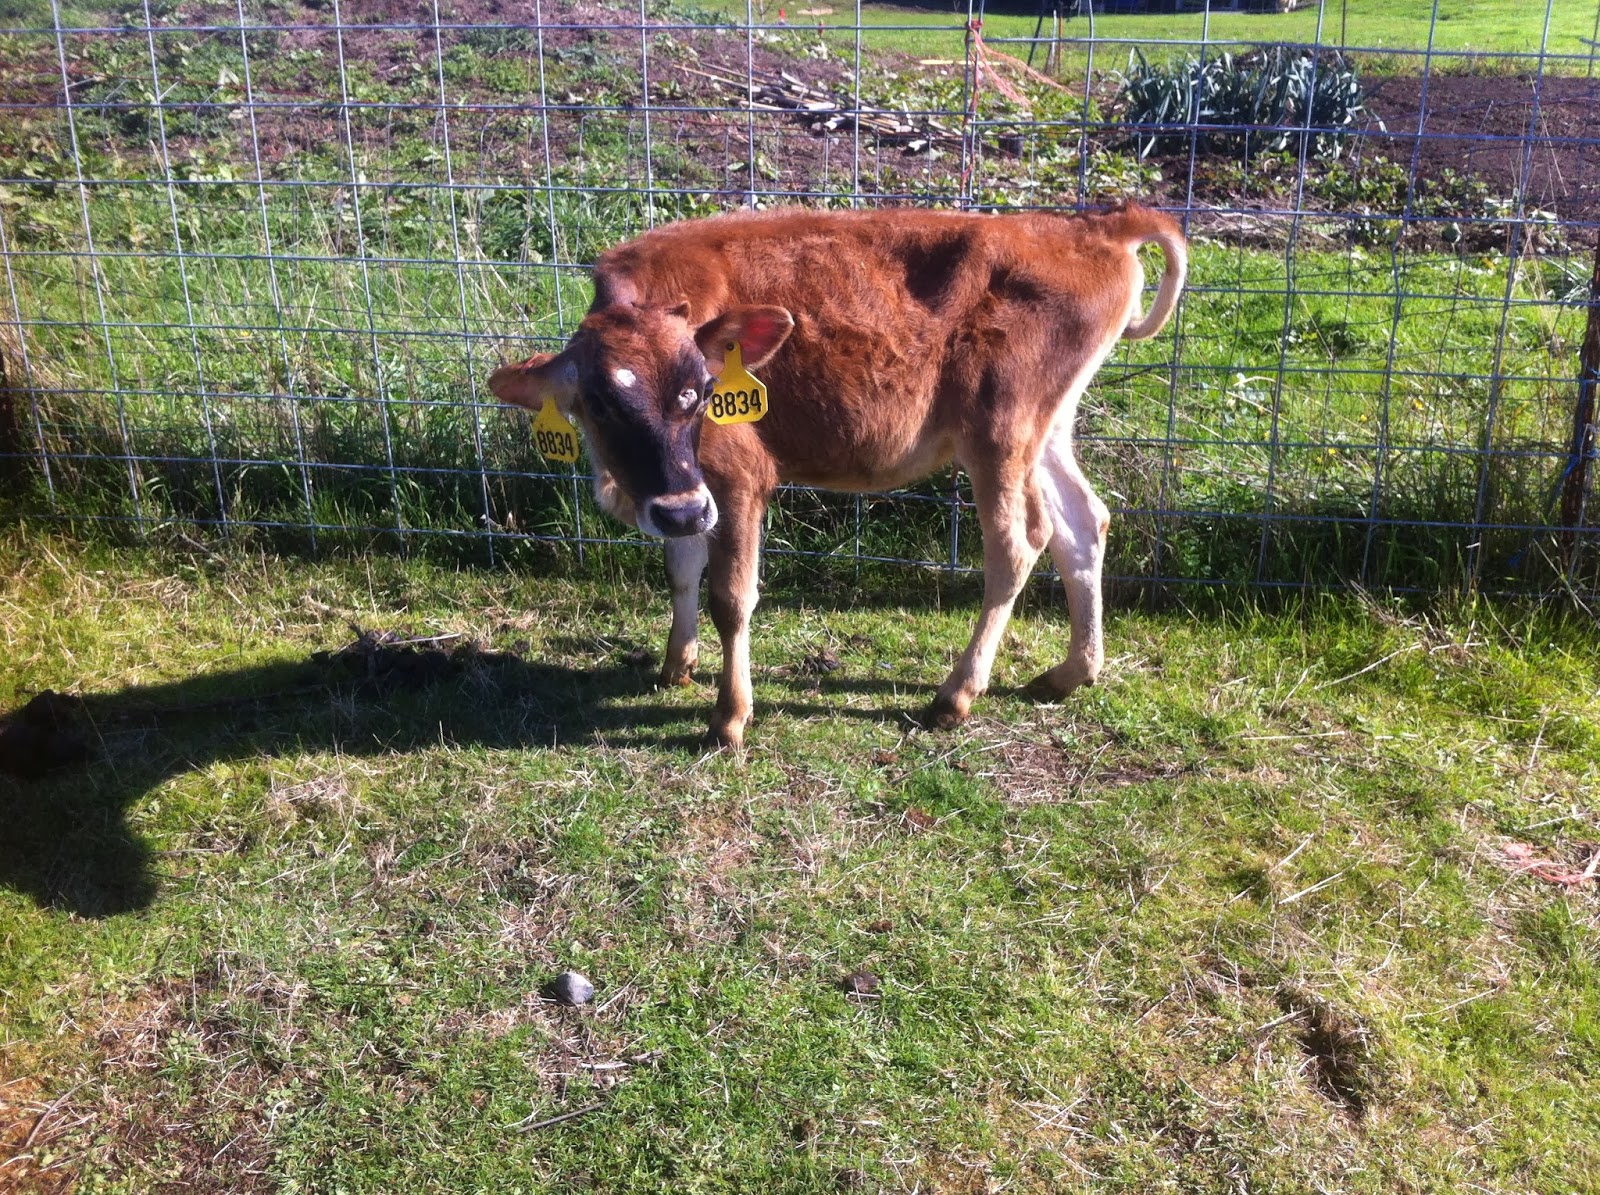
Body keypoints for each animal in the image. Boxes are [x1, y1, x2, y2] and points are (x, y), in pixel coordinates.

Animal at [489, 203, 1186, 749]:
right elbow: (681, 568)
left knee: (1018, 546)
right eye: (601, 402)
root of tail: (1093, 226)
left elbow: (731, 599)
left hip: (1002, 431)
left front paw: (729, 718)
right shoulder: (687, 489)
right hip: (1048, 428)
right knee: (1083, 524)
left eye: (702, 392)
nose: (679, 509)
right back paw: (1071, 672)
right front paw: (675, 664)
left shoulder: (735, 480)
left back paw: (955, 696)